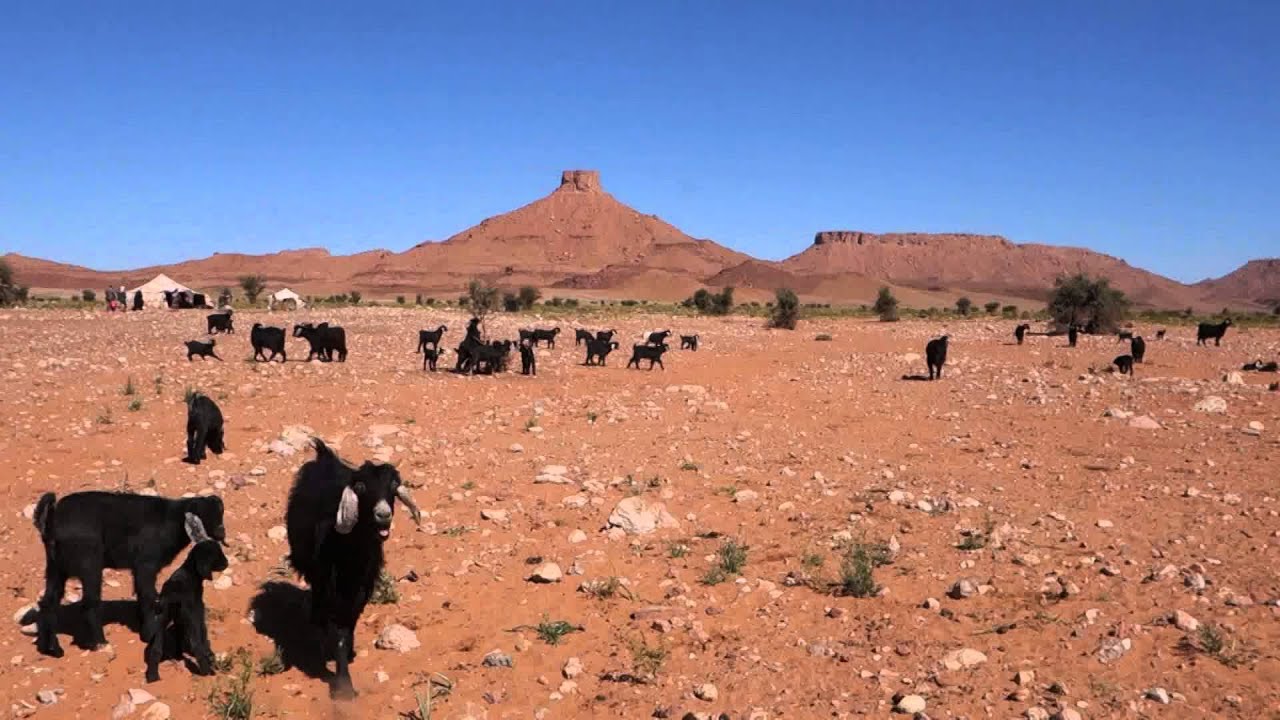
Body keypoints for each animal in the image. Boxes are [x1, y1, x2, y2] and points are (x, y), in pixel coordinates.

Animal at [32, 491, 226, 658]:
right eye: (204, 514)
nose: (221, 532)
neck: (173, 519)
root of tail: (53, 519)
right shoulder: (146, 565)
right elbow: (148, 597)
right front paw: (148, 634)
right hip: (89, 564)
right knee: (90, 602)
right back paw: (100, 643)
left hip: (55, 568)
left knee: (48, 602)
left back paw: (52, 649)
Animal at [143, 517, 226, 682]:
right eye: (217, 555)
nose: (227, 563)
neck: (190, 571)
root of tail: (171, 594)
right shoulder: (197, 610)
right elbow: (202, 635)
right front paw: (209, 654)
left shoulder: (178, 619)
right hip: (188, 617)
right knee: (196, 645)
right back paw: (207, 671)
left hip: (161, 618)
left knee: (156, 649)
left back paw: (153, 677)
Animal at [285, 439, 420, 698]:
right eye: (360, 487)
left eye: (394, 484)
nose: (383, 515)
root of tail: (324, 456)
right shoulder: (327, 583)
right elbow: (334, 627)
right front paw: (343, 687)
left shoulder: (361, 587)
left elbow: (348, 627)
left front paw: (345, 665)